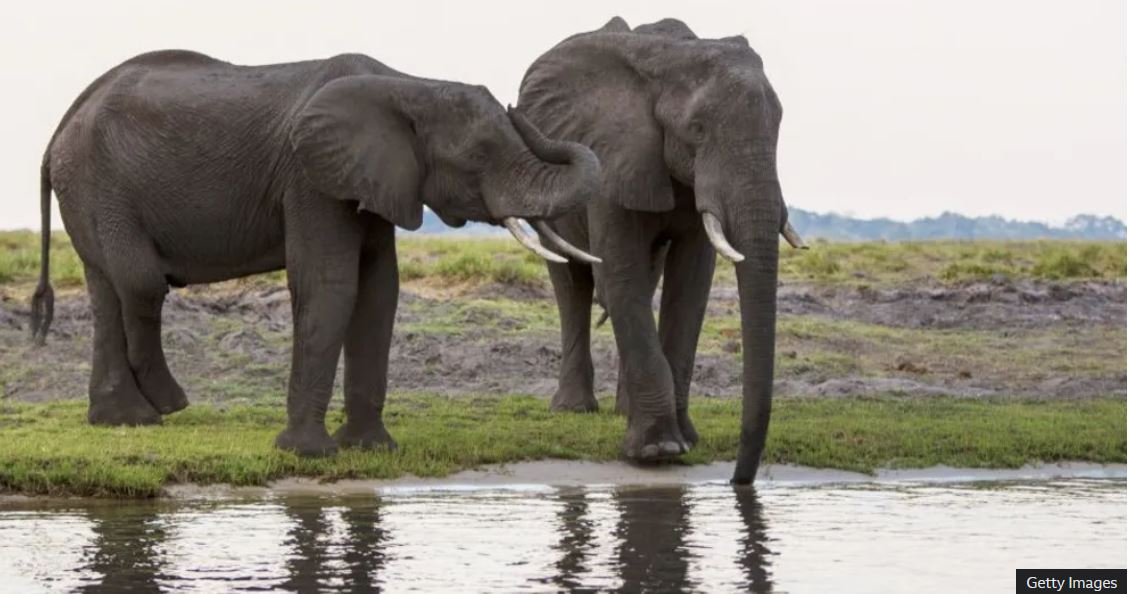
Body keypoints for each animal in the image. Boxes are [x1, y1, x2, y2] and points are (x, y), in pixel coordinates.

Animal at [29, 50, 601, 456]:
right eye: (478, 156)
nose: (515, 106)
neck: (407, 84)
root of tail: (60, 128)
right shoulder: (310, 179)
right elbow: (329, 284)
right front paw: (307, 454)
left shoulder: (371, 180)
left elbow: (379, 291)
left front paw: (372, 450)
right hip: (99, 186)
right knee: (140, 282)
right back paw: (166, 405)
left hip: (88, 189)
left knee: (107, 289)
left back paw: (125, 419)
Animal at [517, 18, 806, 483]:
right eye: (698, 129)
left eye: (778, 124)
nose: (737, 481)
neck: (671, 62)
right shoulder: (613, 154)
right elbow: (620, 272)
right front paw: (658, 450)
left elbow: (690, 284)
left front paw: (685, 440)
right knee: (572, 283)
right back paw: (574, 409)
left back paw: (623, 411)